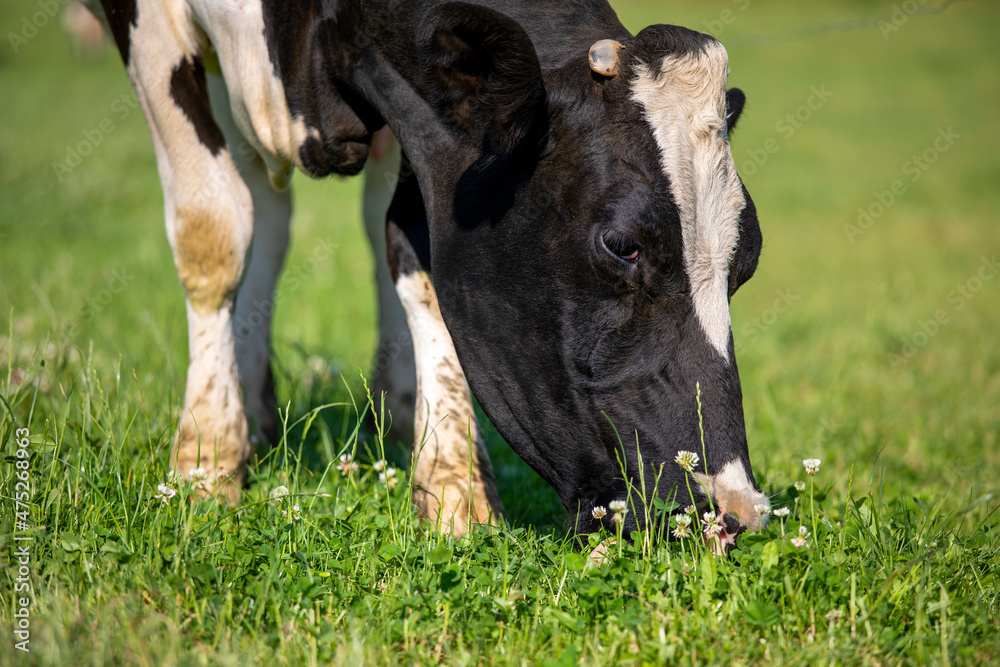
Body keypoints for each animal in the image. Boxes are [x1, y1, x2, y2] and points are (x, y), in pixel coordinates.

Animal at [92, 0, 767, 548]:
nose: (732, 510)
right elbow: (212, 230)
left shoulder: (431, 131)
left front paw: (453, 491)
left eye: (749, 258)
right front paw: (204, 463)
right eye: (622, 245)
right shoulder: (147, 26)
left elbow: (415, 256)